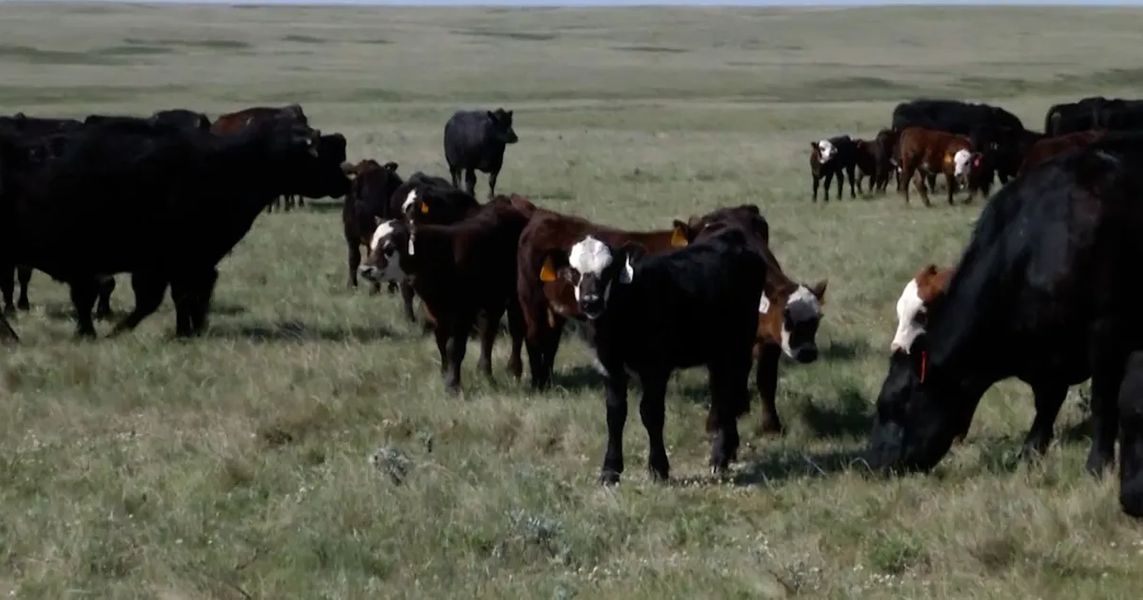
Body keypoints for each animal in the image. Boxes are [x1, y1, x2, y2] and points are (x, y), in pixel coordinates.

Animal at [0, 117, 348, 341]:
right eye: (320, 154)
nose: (344, 181)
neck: (232, 163)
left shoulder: (189, 264)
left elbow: (179, 297)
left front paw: (186, 331)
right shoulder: (171, 262)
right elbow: (161, 299)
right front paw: (114, 331)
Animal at [357, 195, 534, 392]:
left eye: (389, 247)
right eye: (372, 245)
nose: (365, 269)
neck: (442, 255)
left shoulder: (463, 313)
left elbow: (454, 348)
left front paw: (452, 384)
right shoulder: (436, 312)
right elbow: (441, 342)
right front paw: (444, 372)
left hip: (513, 298)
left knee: (516, 331)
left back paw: (513, 370)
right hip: (490, 302)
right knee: (487, 333)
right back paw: (485, 372)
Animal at [517, 210, 694, 390]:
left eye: (609, 270)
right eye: (574, 272)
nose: (591, 301)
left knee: (551, 340)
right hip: (531, 300)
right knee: (533, 337)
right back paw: (537, 384)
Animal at [543, 228, 766, 483]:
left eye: (608, 270)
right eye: (573, 272)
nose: (591, 301)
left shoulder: (656, 368)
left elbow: (651, 413)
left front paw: (659, 468)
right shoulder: (610, 368)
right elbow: (615, 415)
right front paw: (610, 470)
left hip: (740, 341)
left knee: (730, 390)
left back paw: (720, 456)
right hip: (717, 350)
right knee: (721, 391)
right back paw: (726, 452)